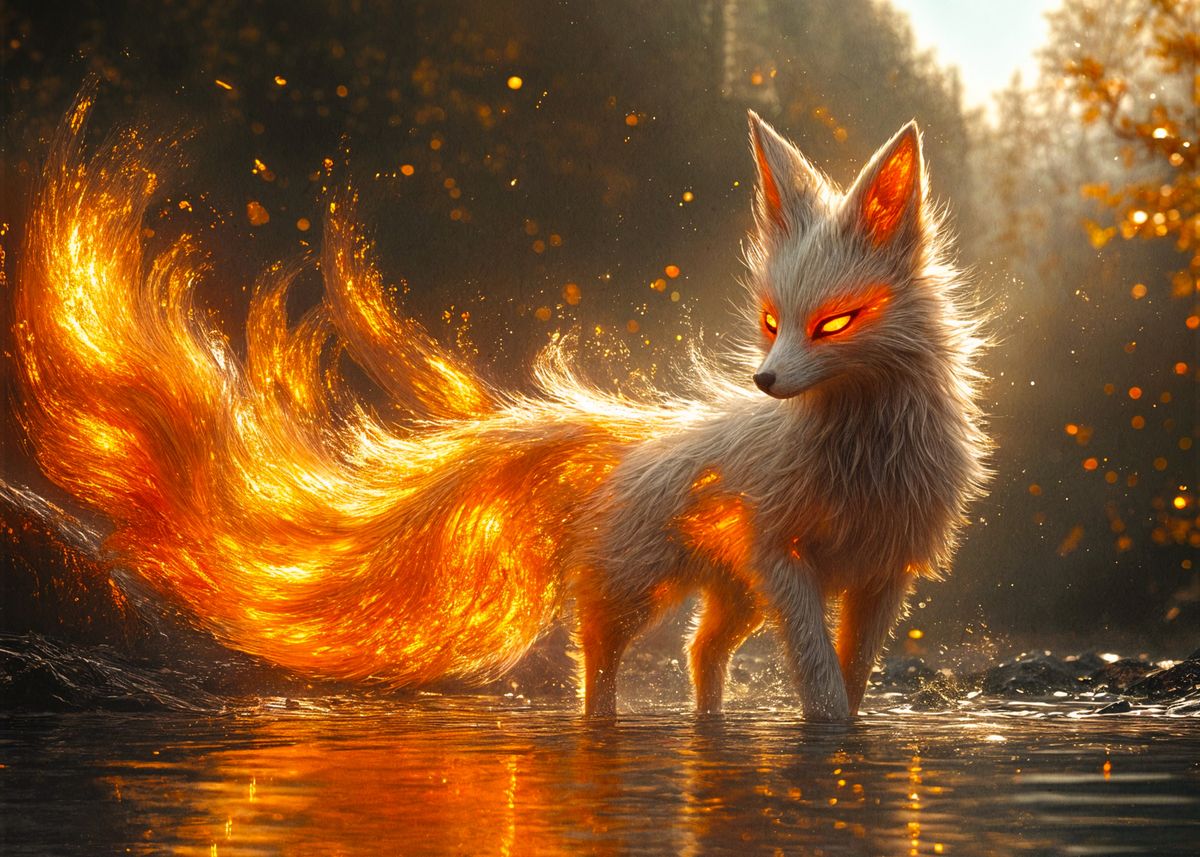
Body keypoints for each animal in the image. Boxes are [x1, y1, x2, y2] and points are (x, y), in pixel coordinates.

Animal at [15, 94, 988, 720]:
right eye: (772, 322)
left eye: (836, 322)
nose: (766, 382)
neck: (863, 446)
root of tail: (633, 439)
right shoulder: (784, 556)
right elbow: (819, 677)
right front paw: (830, 739)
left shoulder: (879, 574)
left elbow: (847, 679)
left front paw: (844, 745)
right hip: (644, 586)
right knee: (604, 659)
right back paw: (605, 725)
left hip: (728, 590)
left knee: (699, 653)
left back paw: (706, 724)